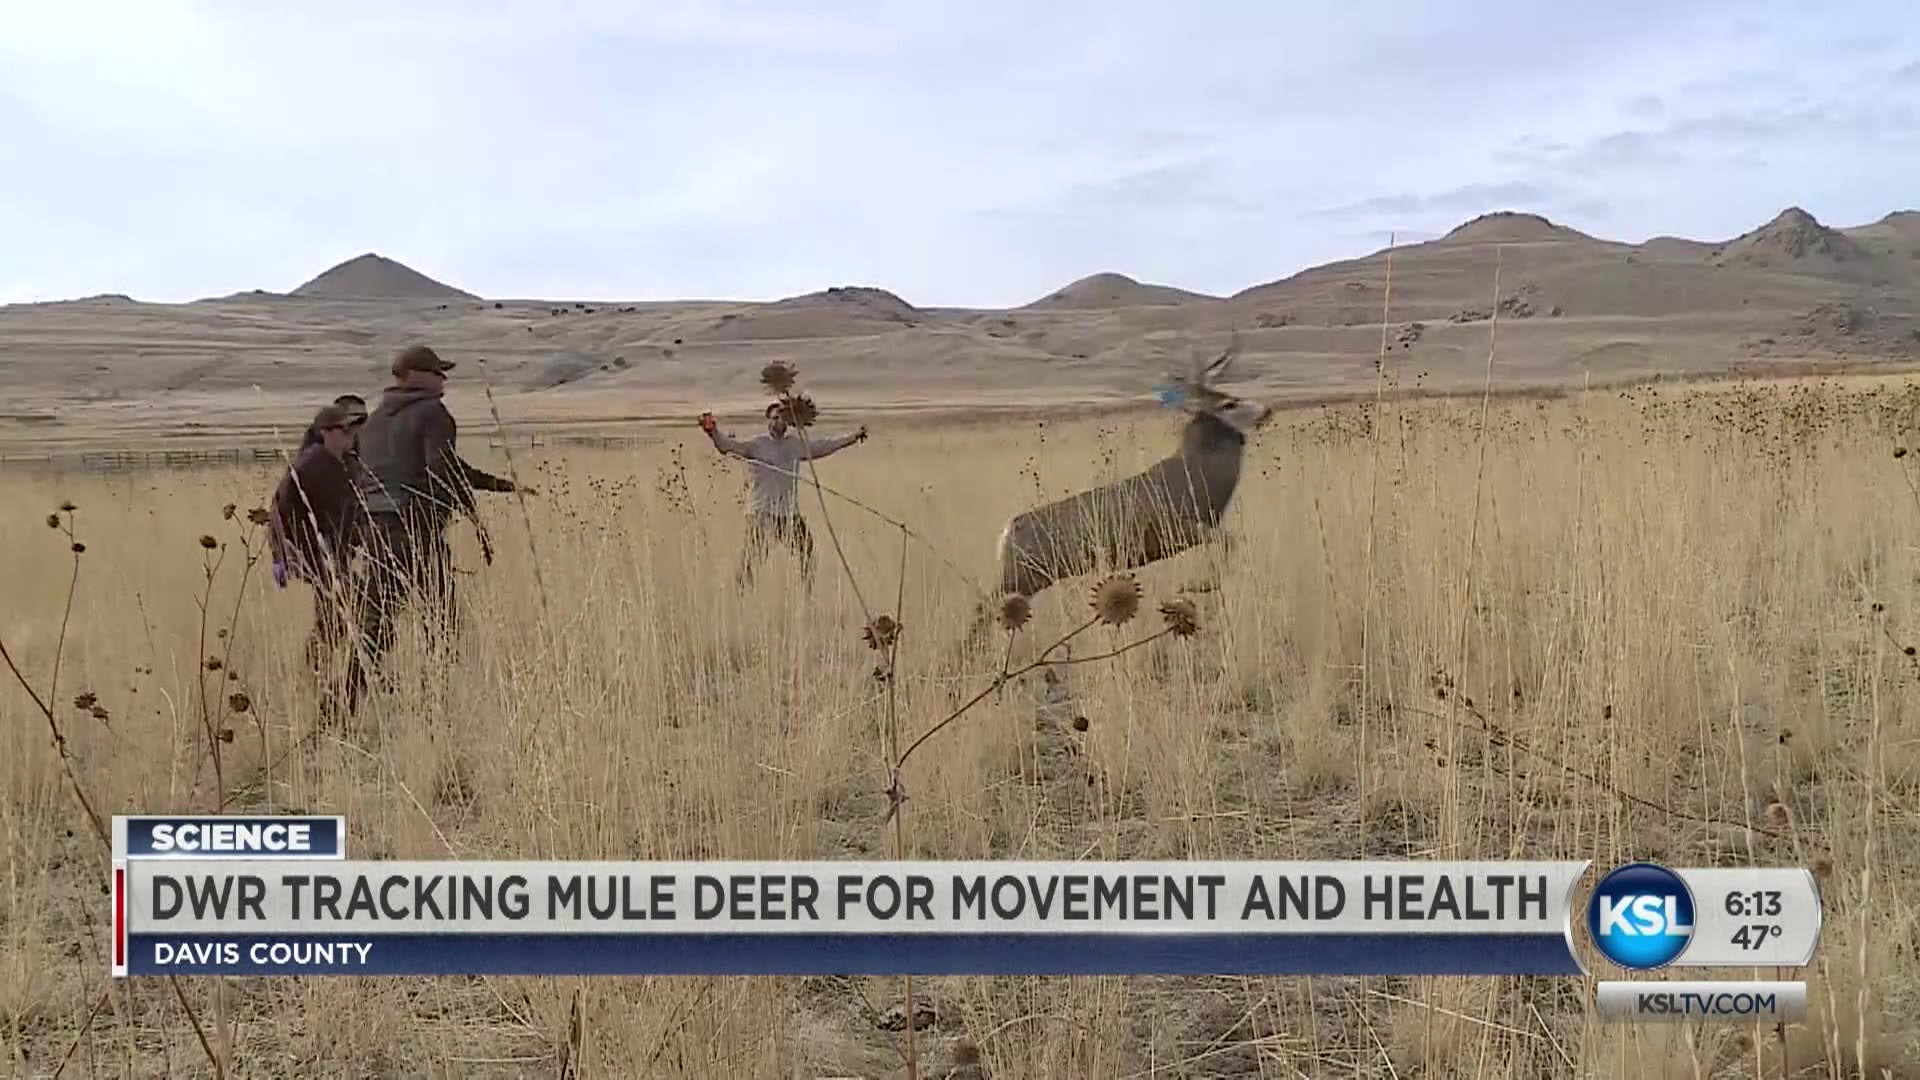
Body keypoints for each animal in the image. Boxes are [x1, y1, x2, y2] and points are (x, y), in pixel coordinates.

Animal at [958, 333, 1271, 656]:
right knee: (984, 605)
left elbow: (1233, 543)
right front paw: (1195, 585)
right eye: (1229, 403)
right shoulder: (1177, 527)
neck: (1197, 474)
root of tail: (1007, 532)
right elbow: (1230, 542)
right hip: (1024, 574)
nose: (1266, 411)